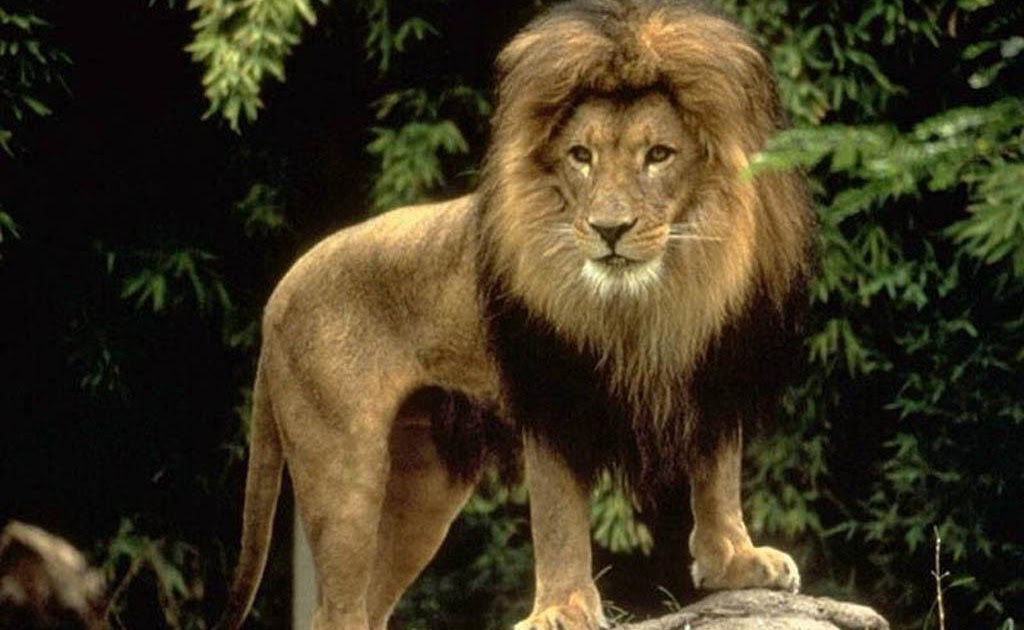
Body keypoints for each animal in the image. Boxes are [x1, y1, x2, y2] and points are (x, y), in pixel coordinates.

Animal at [217, 1, 814, 629]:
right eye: (581, 156)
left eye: (658, 155)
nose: (609, 229)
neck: (650, 298)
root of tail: (278, 293)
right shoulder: (552, 393)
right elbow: (558, 515)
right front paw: (562, 608)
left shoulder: (714, 370)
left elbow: (718, 476)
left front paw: (736, 563)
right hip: (345, 473)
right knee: (338, 607)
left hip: (422, 486)